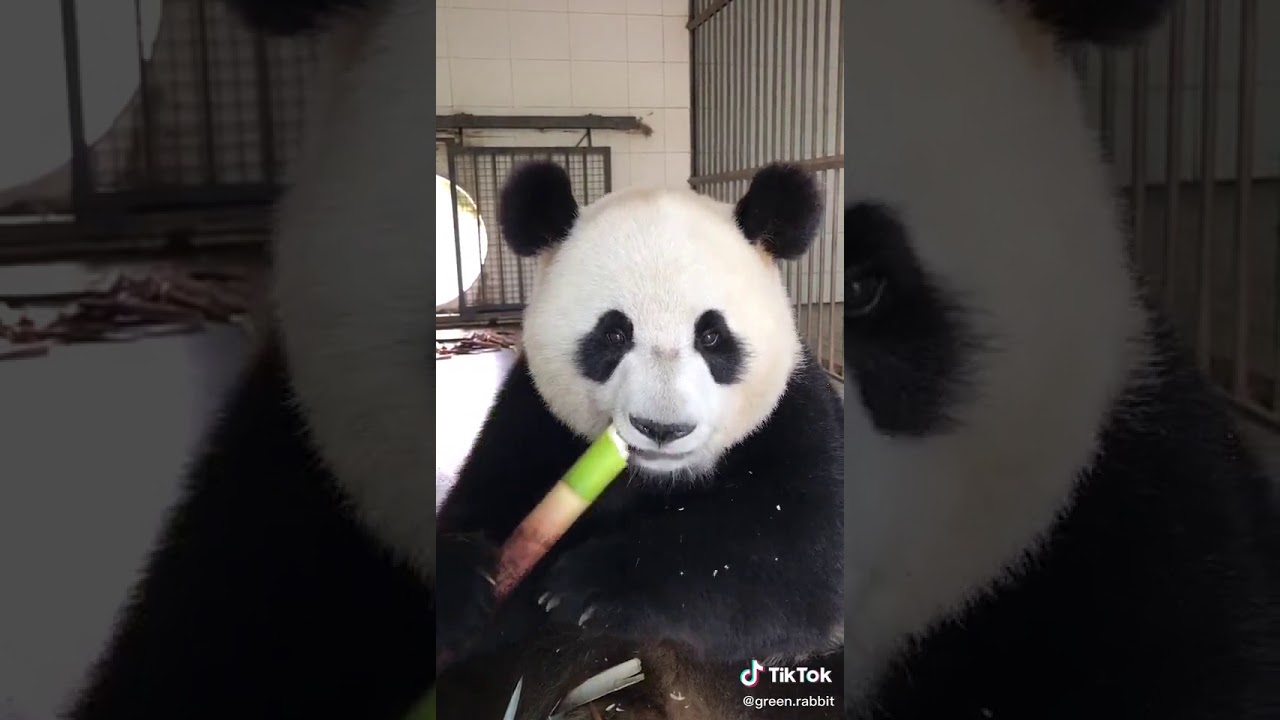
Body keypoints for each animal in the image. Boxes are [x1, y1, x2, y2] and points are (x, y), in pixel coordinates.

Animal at [432, 161, 845, 720]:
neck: (657, 479)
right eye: (613, 334)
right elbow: (477, 506)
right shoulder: (530, 421)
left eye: (711, 336)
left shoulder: (793, 413)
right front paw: (463, 585)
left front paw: (592, 585)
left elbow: (804, 556)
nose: (661, 429)